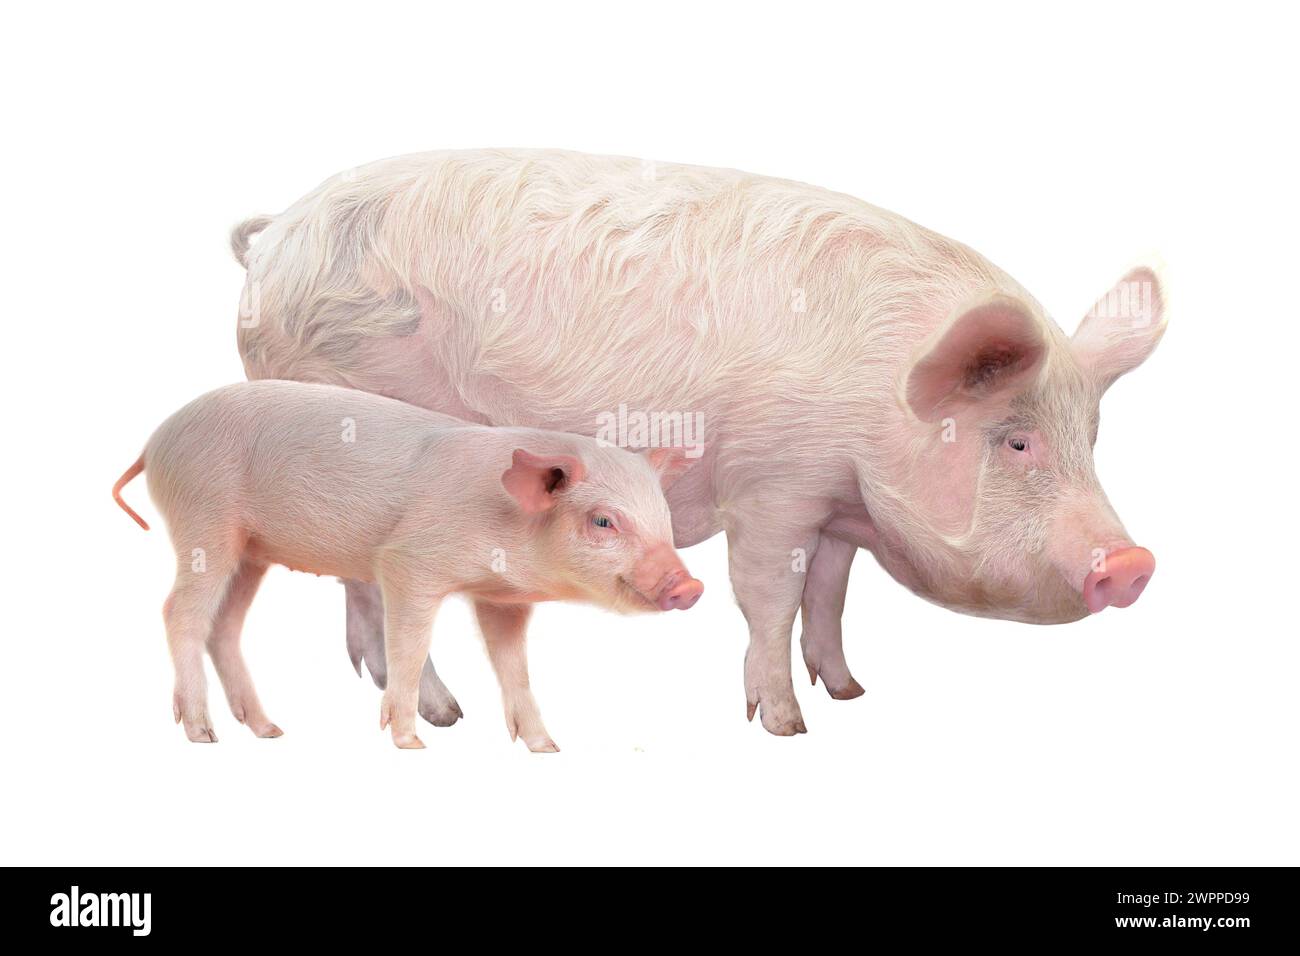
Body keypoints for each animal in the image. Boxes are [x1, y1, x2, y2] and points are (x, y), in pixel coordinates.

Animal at [112, 380, 703, 749]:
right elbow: (410, 647)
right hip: (204, 519)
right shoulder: (409, 564)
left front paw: (547, 747)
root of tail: (154, 442)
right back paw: (202, 734)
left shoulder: (501, 599)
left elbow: (515, 667)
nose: (691, 586)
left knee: (225, 626)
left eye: (663, 519)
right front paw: (411, 741)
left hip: (251, 551)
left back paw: (269, 731)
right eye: (604, 521)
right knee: (179, 612)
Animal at [230, 148, 1166, 736]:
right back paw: (444, 715)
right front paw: (786, 726)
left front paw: (850, 691)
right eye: (1016, 443)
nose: (1132, 564)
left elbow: (830, 595)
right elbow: (769, 599)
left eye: (1090, 438)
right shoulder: (773, 485)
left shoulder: (834, 504)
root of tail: (276, 236)